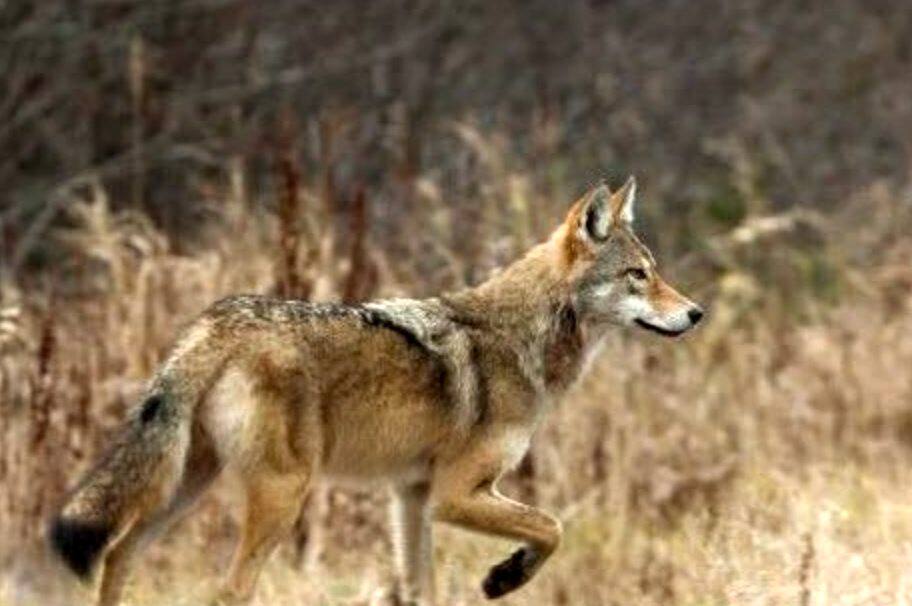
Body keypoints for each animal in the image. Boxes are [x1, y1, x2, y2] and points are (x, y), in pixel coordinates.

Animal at [49, 177, 703, 606]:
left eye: (654, 271)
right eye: (638, 275)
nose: (696, 312)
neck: (527, 337)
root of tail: (217, 322)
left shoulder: (411, 497)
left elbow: (423, 590)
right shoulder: (453, 495)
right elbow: (553, 527)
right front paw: (504, 578)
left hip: (188, 486)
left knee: (118, 554)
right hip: (281, 495)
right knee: (226, 590)